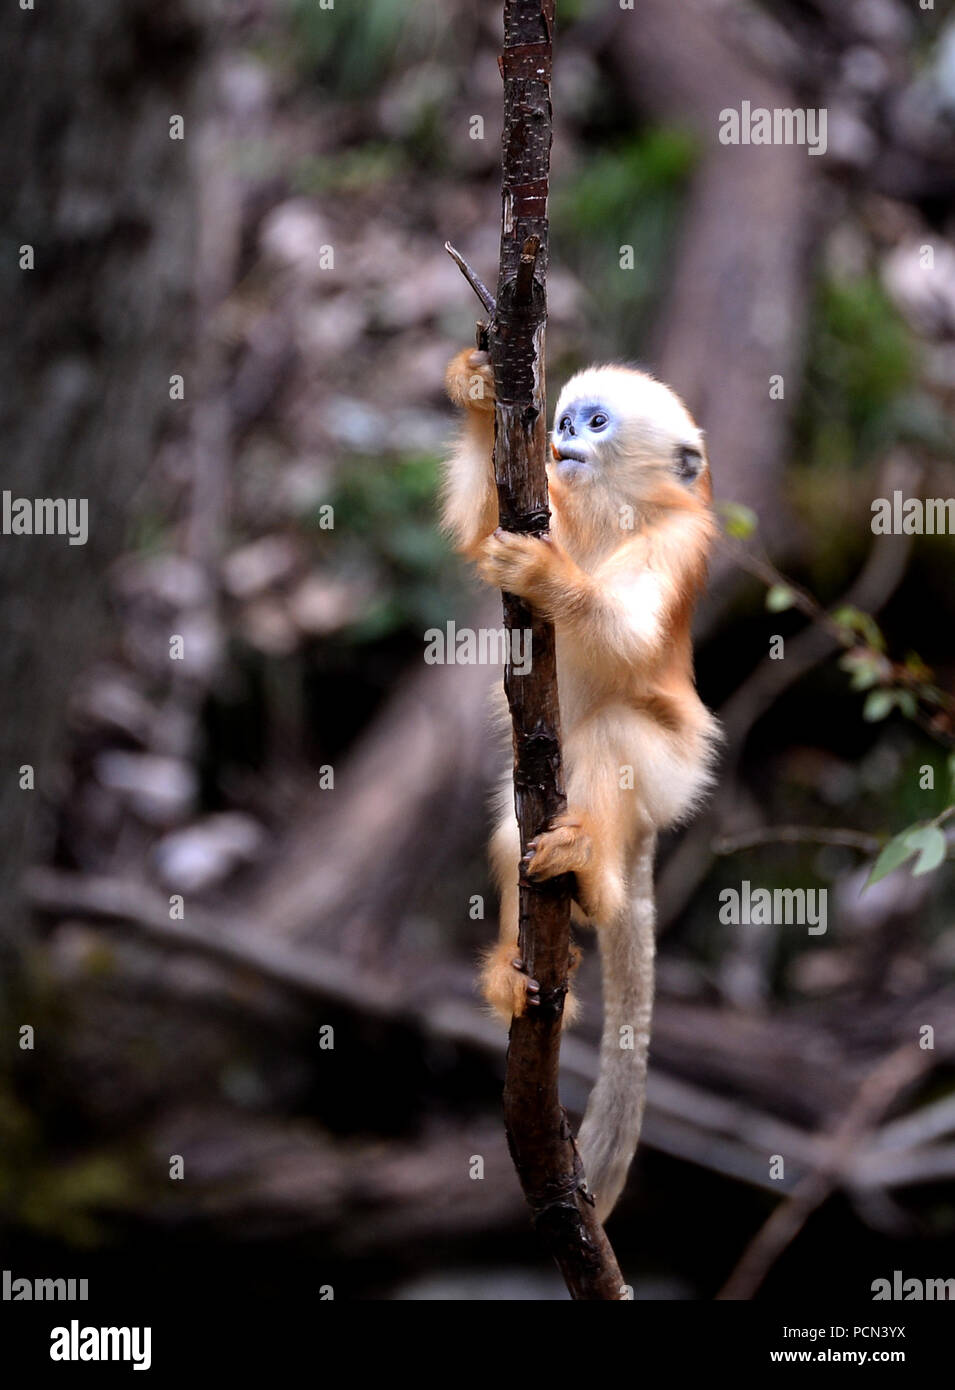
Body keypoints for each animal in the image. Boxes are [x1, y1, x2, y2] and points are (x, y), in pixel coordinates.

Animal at [442, 346, 720, 1223]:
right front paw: (475, 388)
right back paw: (515, 966)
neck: (608, 514)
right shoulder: (548, 502)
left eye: (596, 423)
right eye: (563, 419)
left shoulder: (680, 538)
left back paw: (592, 874)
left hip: (671, 770)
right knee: (511, 834)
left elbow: (627, 634)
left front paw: (545, 573)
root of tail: (642, 833)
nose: (562, 436)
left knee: (612, 732)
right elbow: (478, 530)